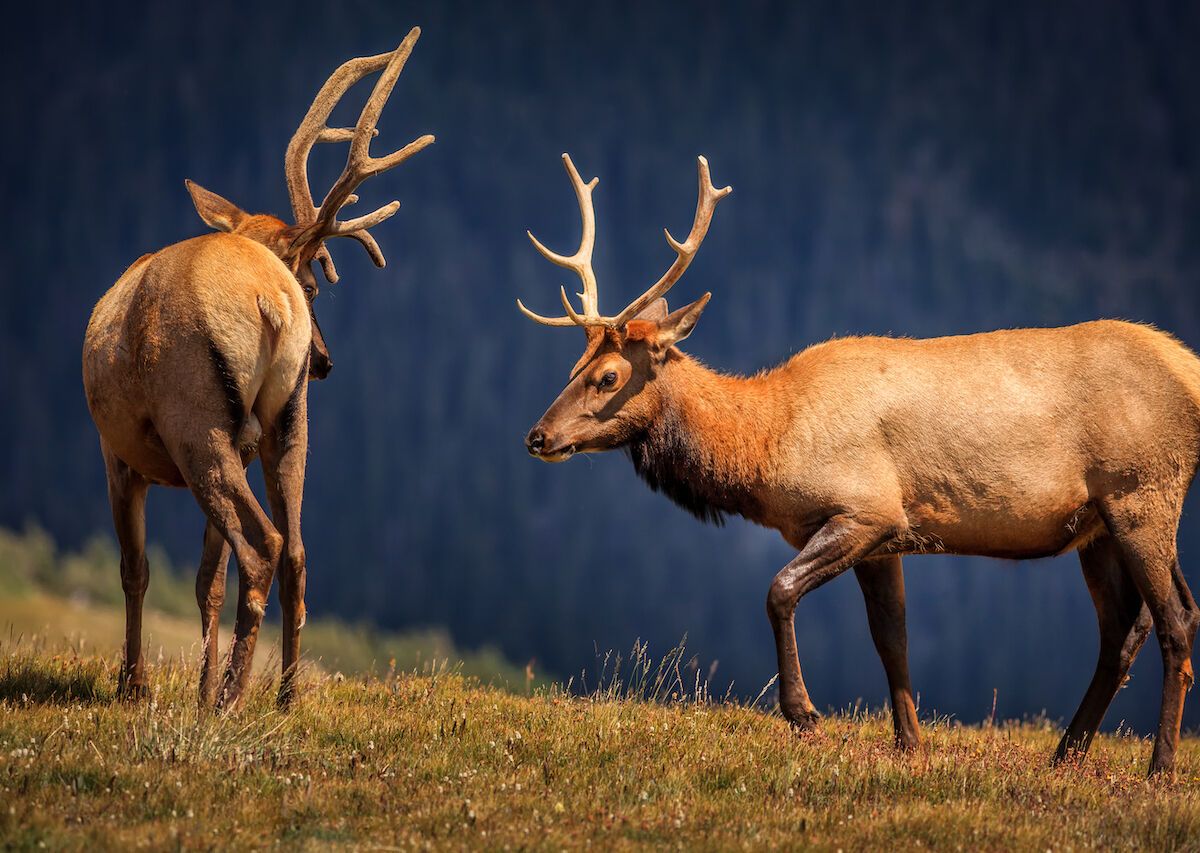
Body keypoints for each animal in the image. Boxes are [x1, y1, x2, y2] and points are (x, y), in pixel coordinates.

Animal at [82, 27, 434, 711]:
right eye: (316, 285)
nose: (325, 361)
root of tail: (268, 301)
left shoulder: (118, 452)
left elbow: (137, 569)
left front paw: (134, 685)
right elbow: (205, 581)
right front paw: (191, 685)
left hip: (196, 423)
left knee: (263, 545)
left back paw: (228, 700)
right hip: (286, 424)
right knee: (295, 549)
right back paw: (284, 695)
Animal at [517, 152, 1200, 776]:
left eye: (609, 376)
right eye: (573, 366)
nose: (537, 436)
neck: (767, 447)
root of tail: (1189, 370)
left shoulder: (867, 509)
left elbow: (779, 590)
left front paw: (804, 715)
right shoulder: (889, 535)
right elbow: (891, 638)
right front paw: (911, 745)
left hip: (1142, 493)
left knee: (1175, 621)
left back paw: (1160, 765)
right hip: (1099, 525)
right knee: (1125, 629)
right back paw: (1066, 753)